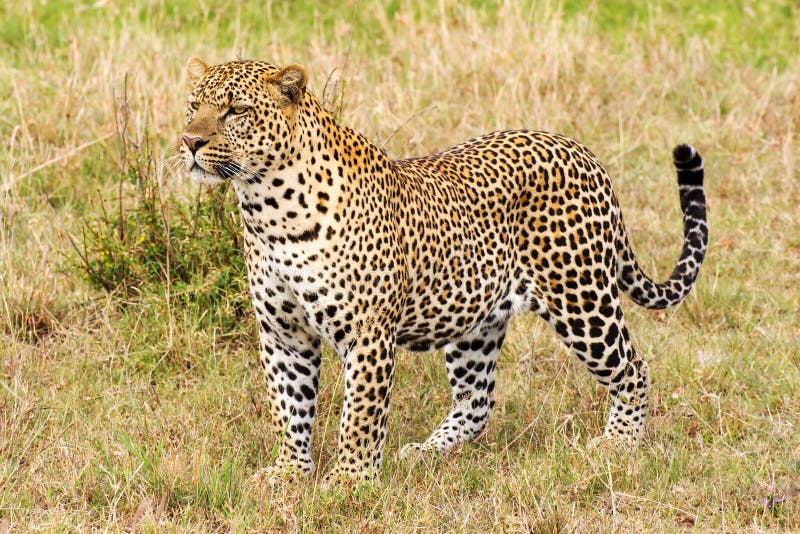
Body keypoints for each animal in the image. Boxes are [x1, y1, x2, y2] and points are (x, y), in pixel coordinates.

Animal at [179, 58, 708, 486]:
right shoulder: (283, 333)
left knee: (633, 367)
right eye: (193, 105)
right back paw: (427, 452)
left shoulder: (367, 332)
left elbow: (360, 415)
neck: (268, 208)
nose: (190, 141)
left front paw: (349, 482)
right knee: (477, 400)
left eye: (236, 111)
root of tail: (582, 151)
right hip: (475, 321)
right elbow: (289, 406)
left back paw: (620, 443)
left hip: (581, 298)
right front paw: (290, 472)